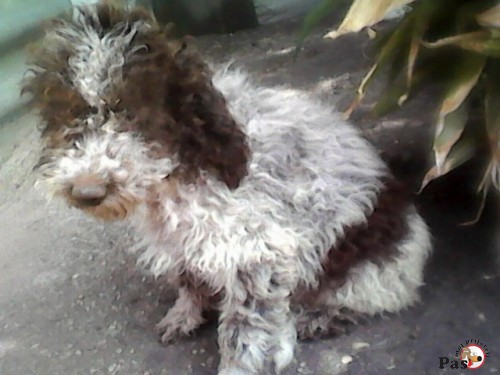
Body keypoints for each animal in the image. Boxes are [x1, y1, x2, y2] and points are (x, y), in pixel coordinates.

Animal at [23, 3, 432, 375]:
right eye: (70, 115)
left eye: (136, 115)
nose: (86, 192)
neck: (181, 172)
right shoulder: (185, 243)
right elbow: (189, 280)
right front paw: (184, 315)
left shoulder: (257, 253)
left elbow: (246, 328)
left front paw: (239, 365)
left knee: (382, 295)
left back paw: (318, 316)